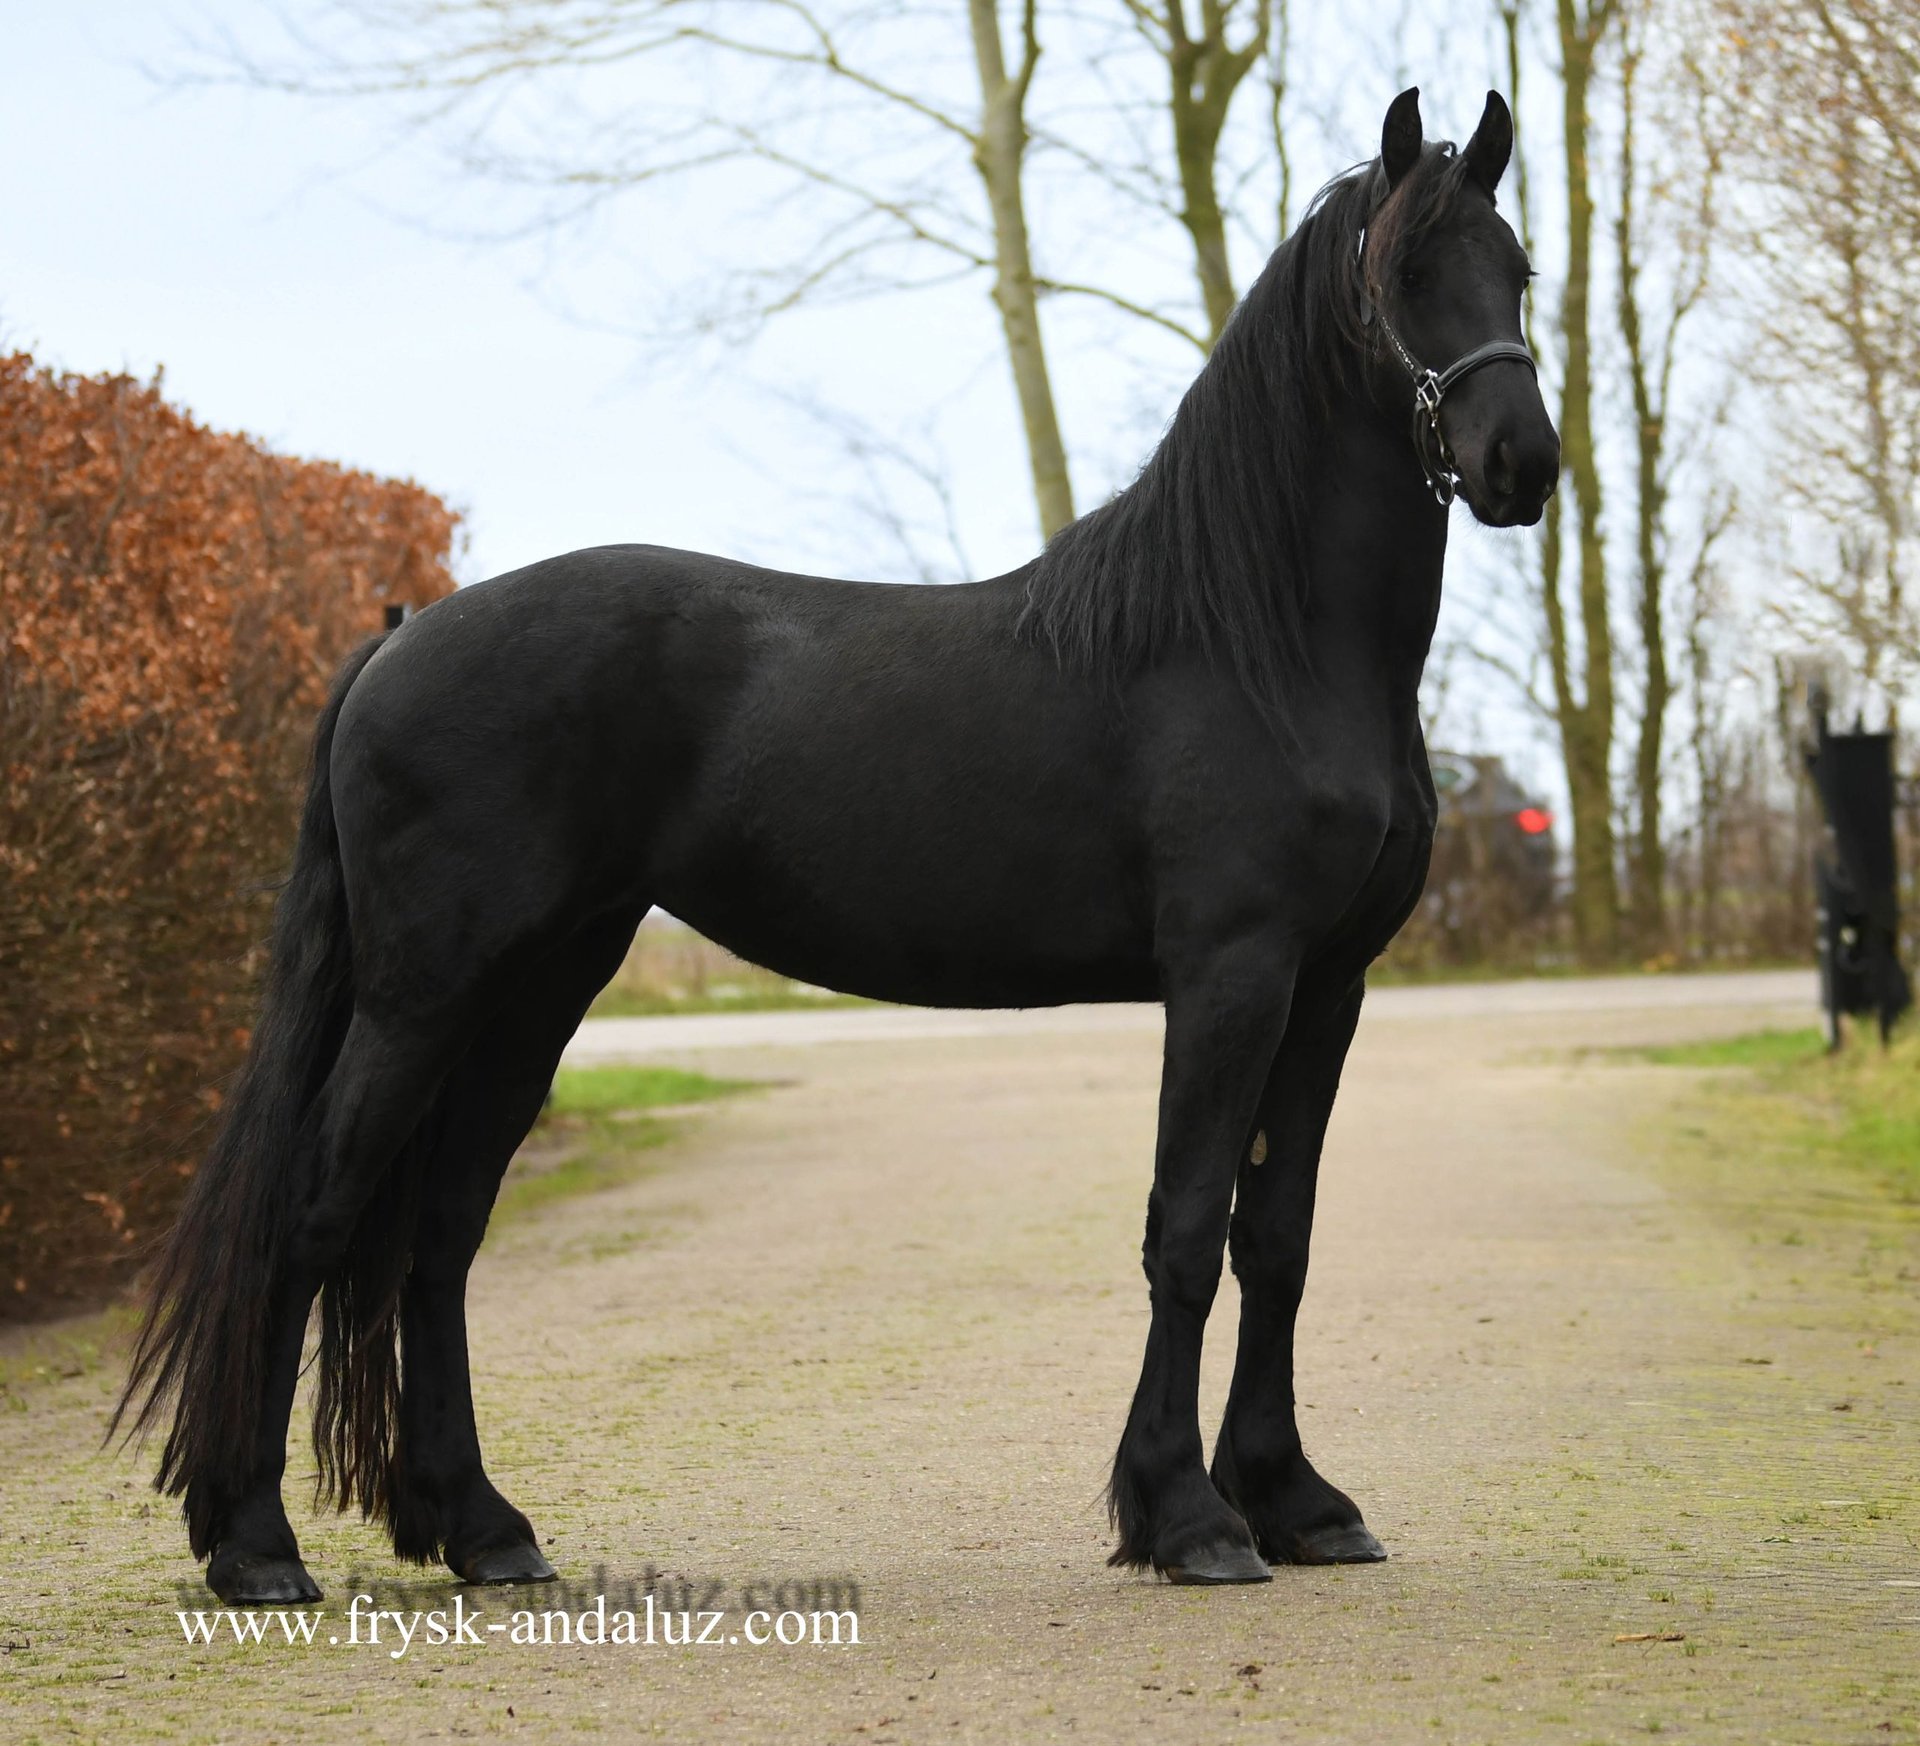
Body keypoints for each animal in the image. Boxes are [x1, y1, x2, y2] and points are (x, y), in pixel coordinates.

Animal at [117, 86, 1558, 1601]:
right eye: (1404, 275)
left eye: (1516, 269)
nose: (1521, 462)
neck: (1258, 646)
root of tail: (395, 643)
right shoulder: (1231, 975)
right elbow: (1183, 1231)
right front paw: (1191, 1517)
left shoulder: (1326, 985)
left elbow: (1274, 1240)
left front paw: (1297, 1500)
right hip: (424, 994)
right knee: (316, 1217)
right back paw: (257, 1546)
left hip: (536, 985)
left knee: (439, 1236)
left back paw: (484, 1527)